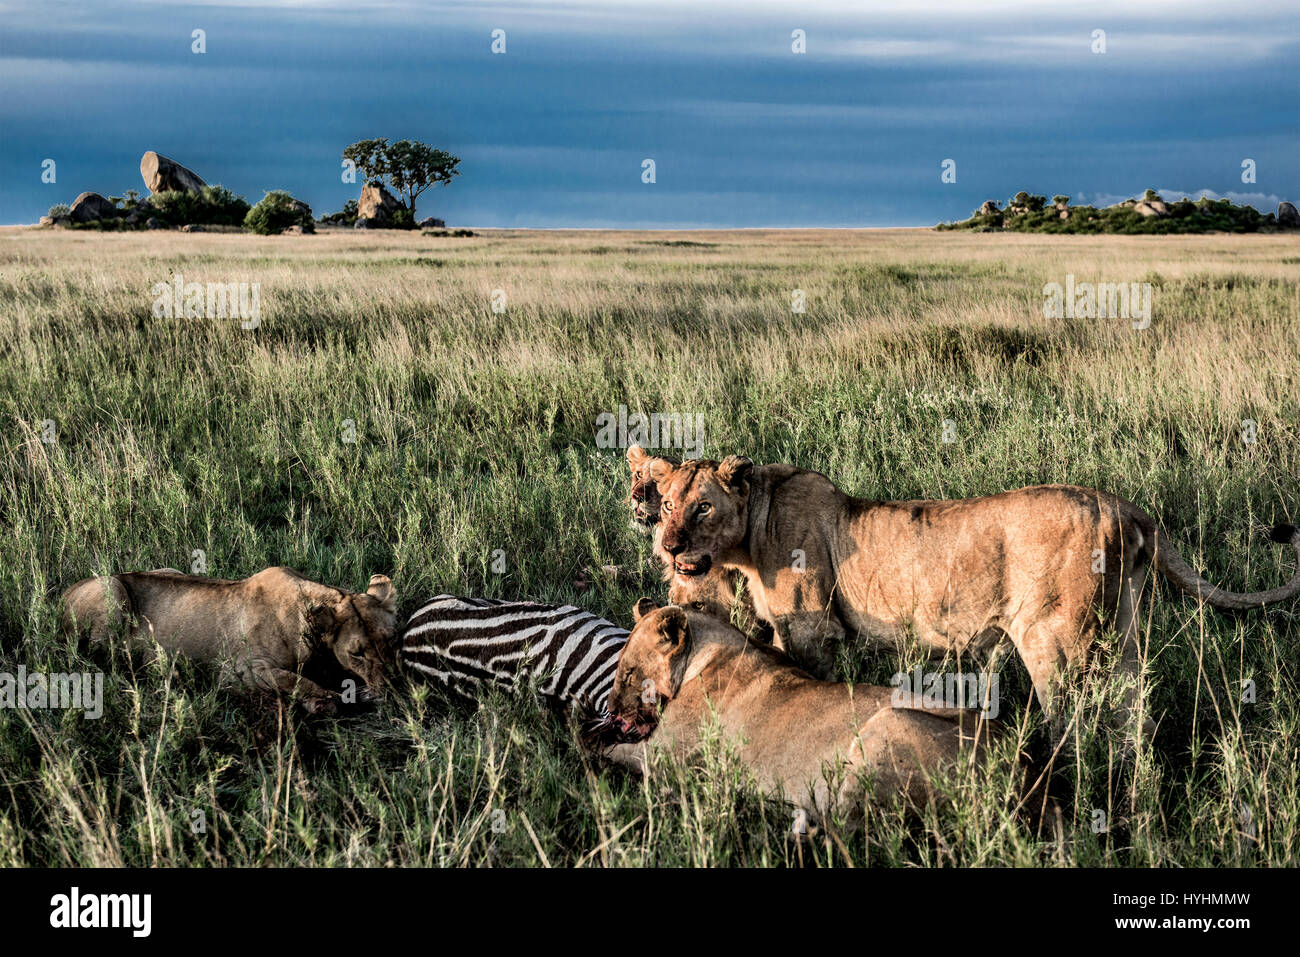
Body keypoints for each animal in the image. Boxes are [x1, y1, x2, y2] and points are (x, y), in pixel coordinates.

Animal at [61, 566, 398, 713]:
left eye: (390, 640)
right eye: (357, 653)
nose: (393, 687)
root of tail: (65, 591)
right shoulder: (235, 671)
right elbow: (292, 679)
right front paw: (324, 699)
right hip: (112, 588)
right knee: (97, 660)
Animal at [603, 600, 992, 820]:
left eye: (629, 672)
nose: (611, 710)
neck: (706, 650)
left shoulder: (663, 753)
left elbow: (610, 750)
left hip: (887, 725)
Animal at [645, 455, 1300, 737]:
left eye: (702, 507)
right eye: (669, 502)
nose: (668, 545)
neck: (752, 529)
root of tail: (1126, 508)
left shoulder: (810, 633)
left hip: (1054, 641)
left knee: (1072, 718)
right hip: (1124, 633)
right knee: (1133, 709)